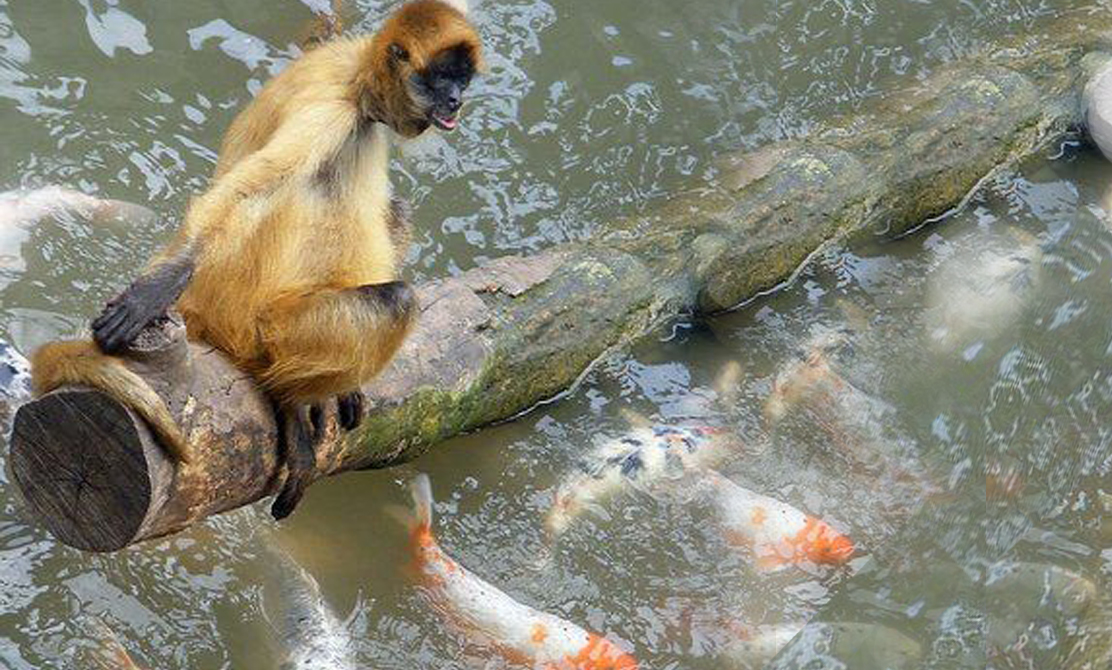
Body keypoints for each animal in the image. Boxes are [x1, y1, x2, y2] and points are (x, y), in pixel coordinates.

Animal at [31, 0, 482, 519]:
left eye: (462, 80)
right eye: (440, 80)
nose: (456, 102)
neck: (356, 81)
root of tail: (204, 310)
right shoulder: (329, 111)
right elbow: (249, 191)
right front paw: (157, 285)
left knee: (395, 211)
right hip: (263, 323)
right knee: (394, 296)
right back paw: (287, 397)